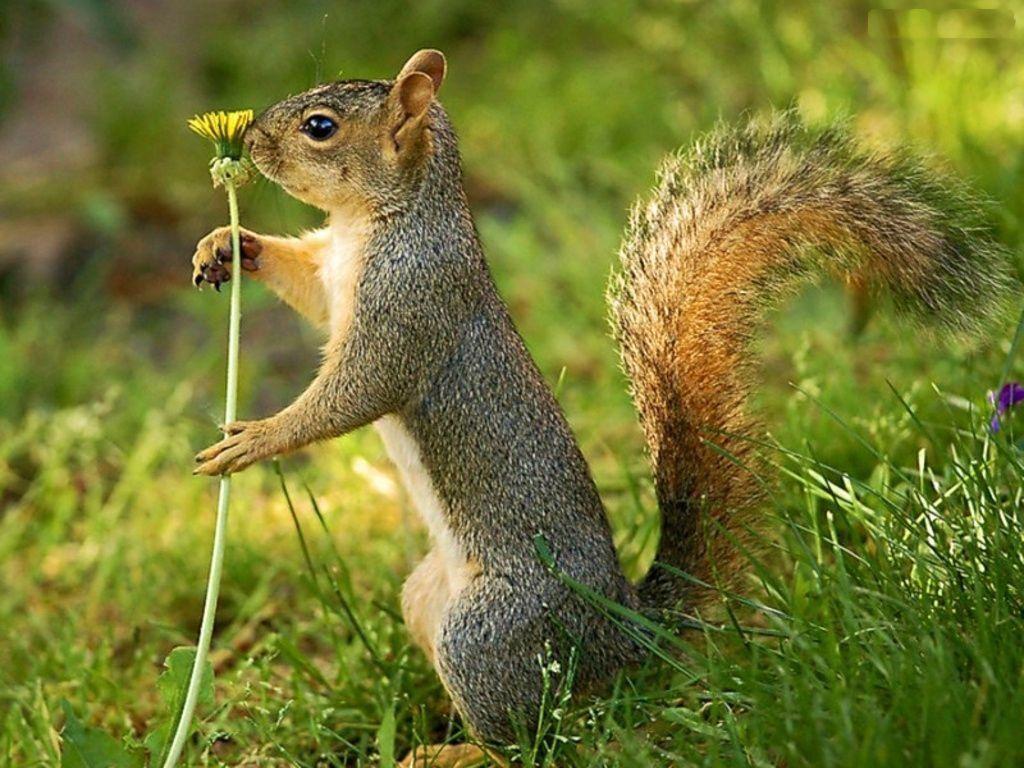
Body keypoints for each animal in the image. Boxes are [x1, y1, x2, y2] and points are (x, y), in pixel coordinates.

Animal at [190, 49, 1013, 764]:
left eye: (320, 126)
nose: (251, 138)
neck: (378, 223)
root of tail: (625, 634)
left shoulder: (411, 306)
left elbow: (355, 393)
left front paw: (255, 439)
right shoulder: (332, 278)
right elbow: (302, 284)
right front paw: (227, 244)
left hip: (486, 635)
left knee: (535, 740)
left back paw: (454, 753)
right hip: (428, 602)